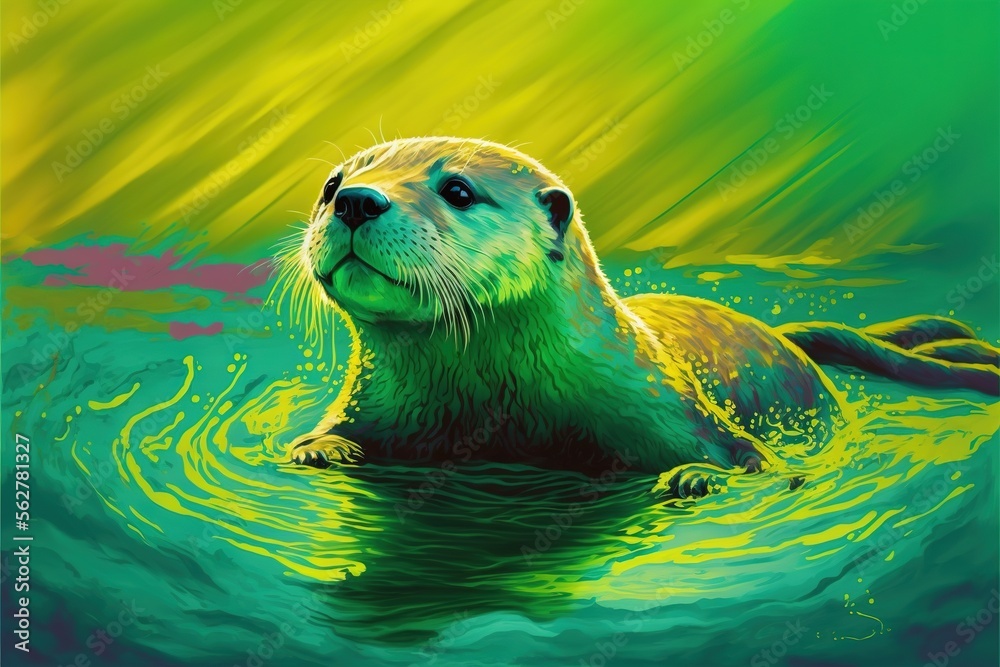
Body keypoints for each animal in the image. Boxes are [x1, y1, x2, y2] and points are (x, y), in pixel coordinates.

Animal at [276, 137, 999, 496]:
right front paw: (321, 449)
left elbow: (760, 463)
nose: (356, 200)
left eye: (457, 189)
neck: (501, 410)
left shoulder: (671, 399)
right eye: (331, 183)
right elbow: (317, 437)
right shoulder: (366, 402)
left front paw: (697, 476)